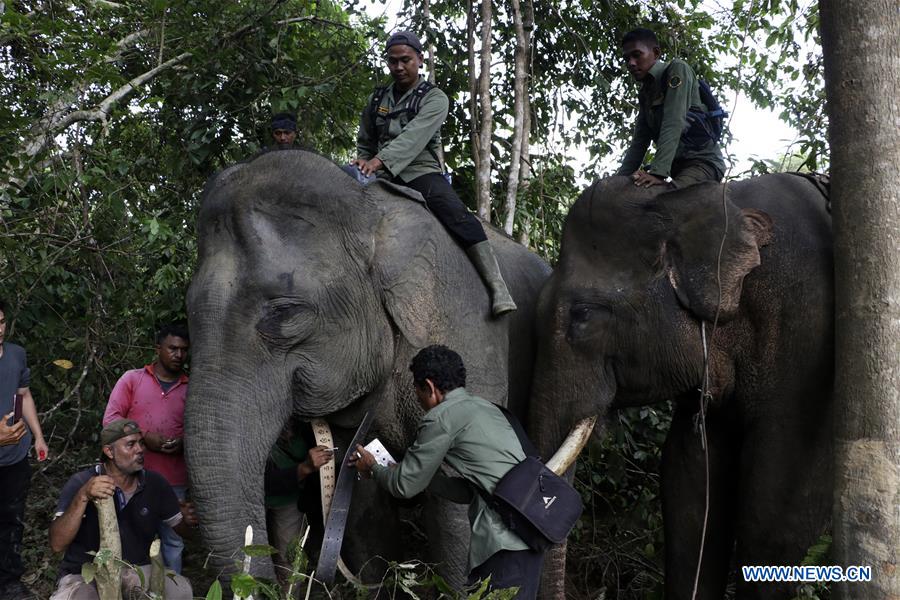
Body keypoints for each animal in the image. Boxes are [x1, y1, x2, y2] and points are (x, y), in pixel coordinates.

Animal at [183, 148, 552, 587]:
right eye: (187, 309)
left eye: (284, 313)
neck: (373, 211)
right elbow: (361, 503)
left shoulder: (467, 328)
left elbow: (458, 505)